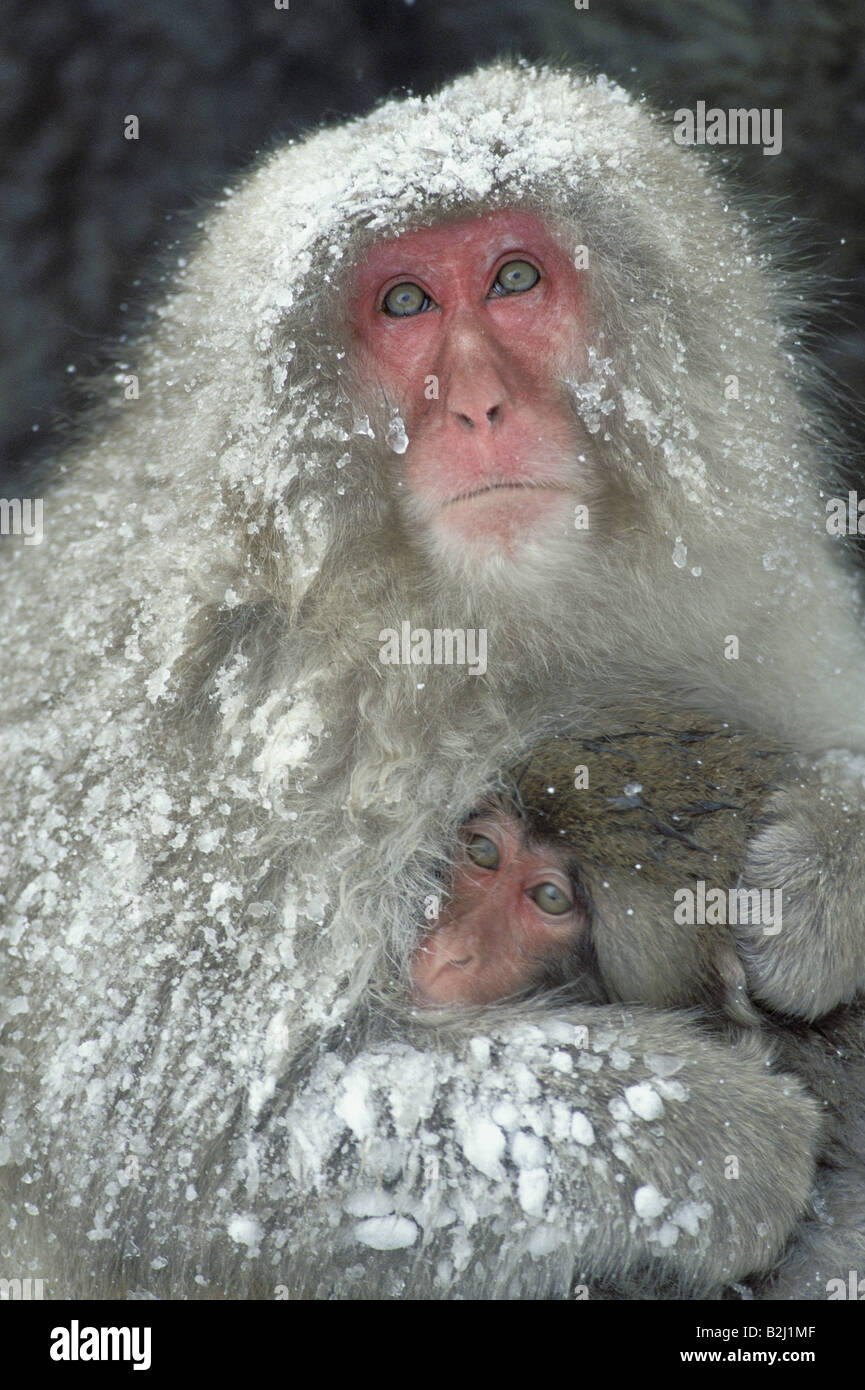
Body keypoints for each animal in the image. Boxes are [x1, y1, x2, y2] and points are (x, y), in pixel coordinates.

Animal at [3, 60, 865, 1299]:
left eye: (513, 279)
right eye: (404, 303)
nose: (478, 405)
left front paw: (820, 873)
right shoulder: (236, 745)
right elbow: (192, 1162)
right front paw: (718, 1138)